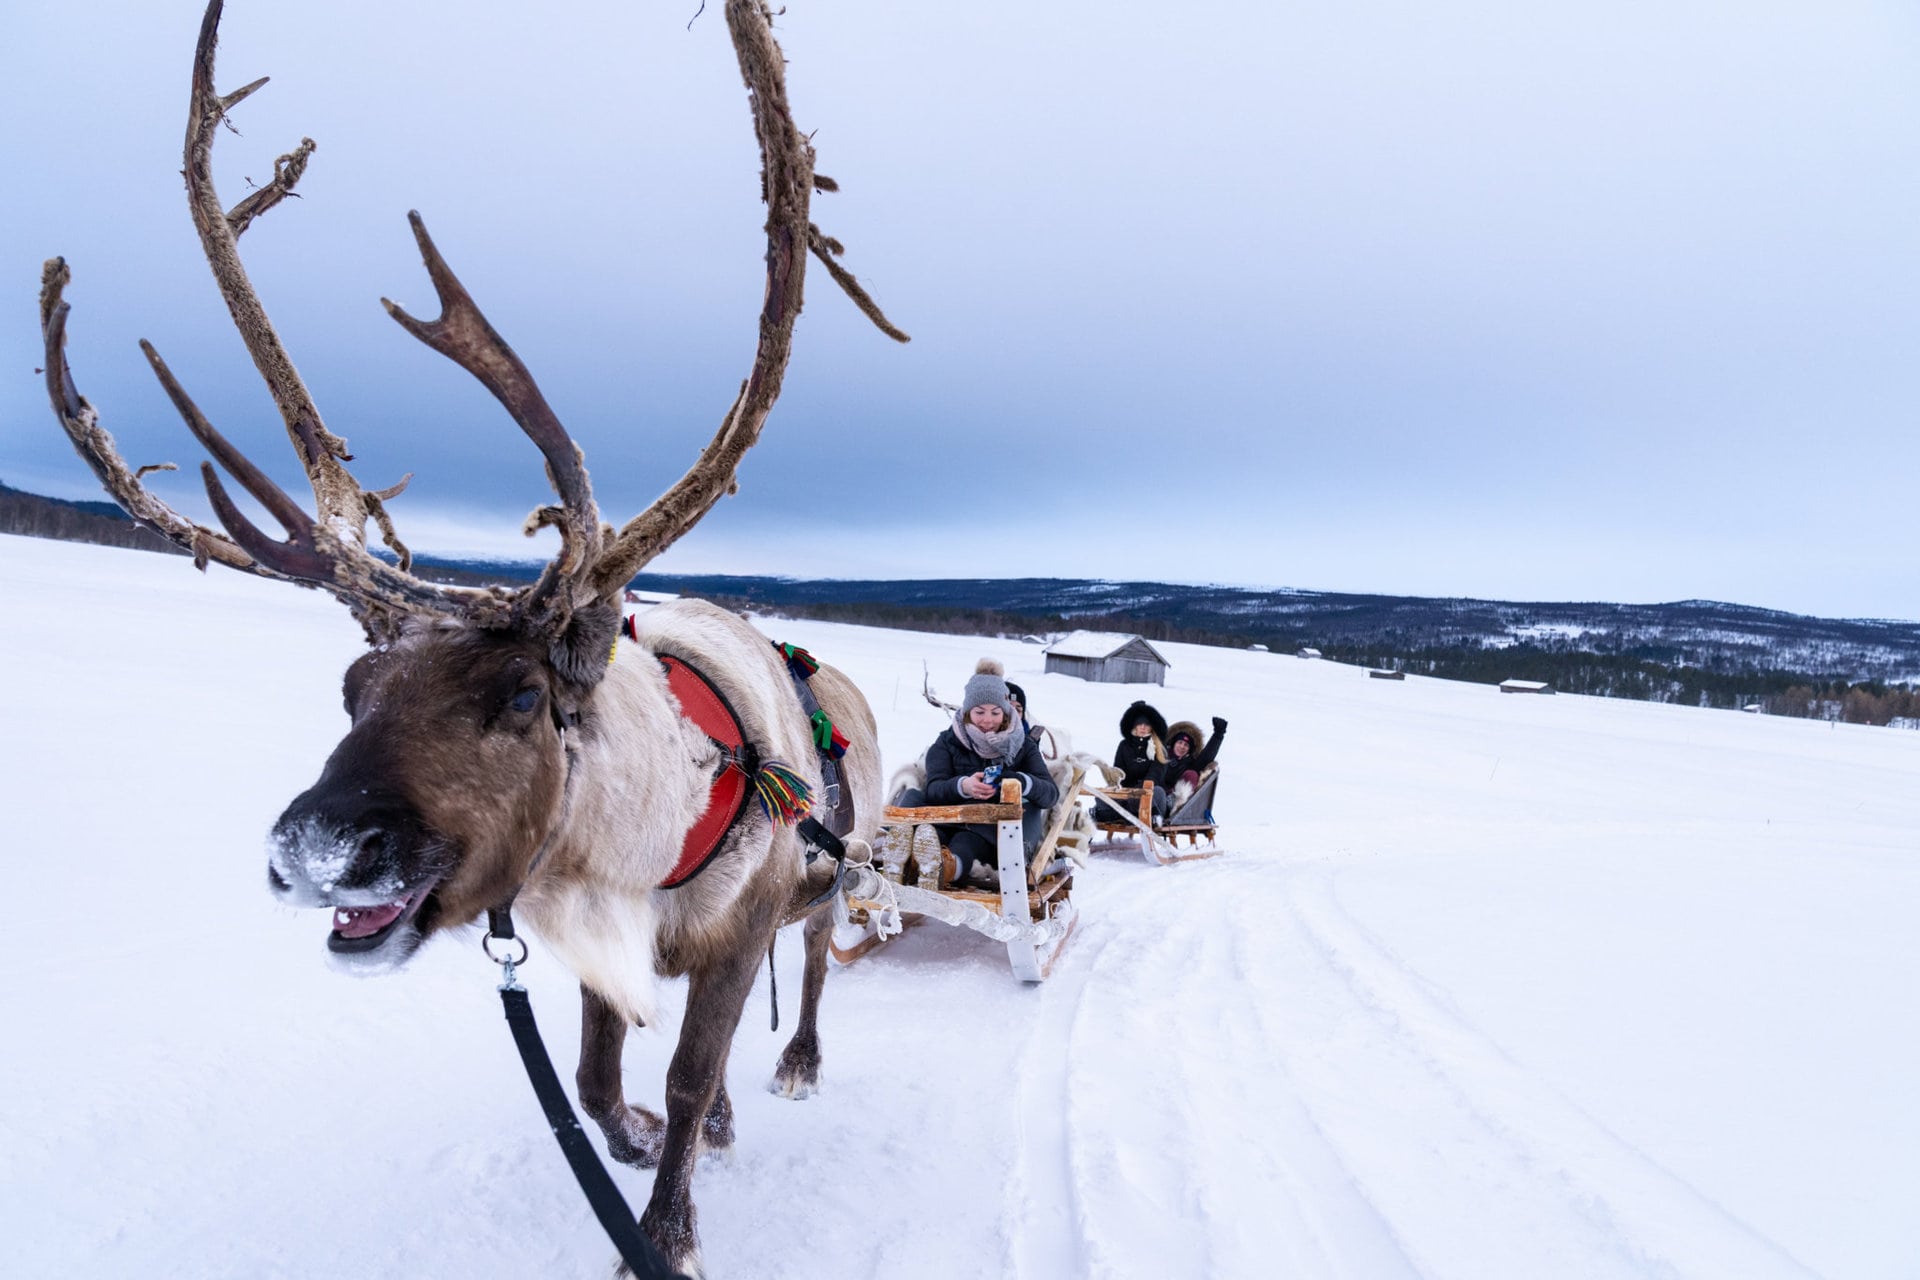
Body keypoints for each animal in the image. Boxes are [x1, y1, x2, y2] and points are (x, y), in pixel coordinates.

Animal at [37, 1, 905, 1273]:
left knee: (812, 963)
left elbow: (690, 1070)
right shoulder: (599, 951)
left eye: (522, 695)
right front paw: (641, 1140)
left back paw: (793, 1065)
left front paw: (666, 1228)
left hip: (839, 873)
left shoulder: (739, 924)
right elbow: (593, 1082)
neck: (641, 841)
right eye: (351, 684)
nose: (320, 847)